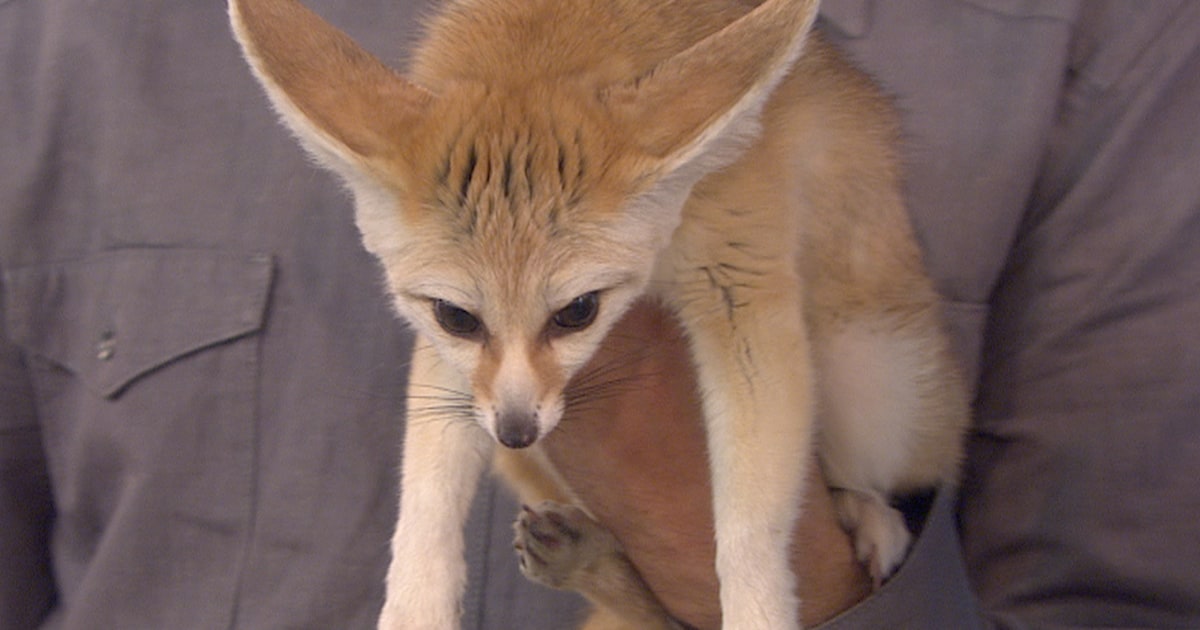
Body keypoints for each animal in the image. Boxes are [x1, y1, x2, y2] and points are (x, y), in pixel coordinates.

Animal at [229, 0, 970, 628]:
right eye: (457, 318)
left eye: (578, 312)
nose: (517, 431)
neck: (548, 39)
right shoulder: (456, 365)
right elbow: (425, 506)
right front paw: (415, 608)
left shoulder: (743, 292)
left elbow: (749, 527)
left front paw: (758, 608)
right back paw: (591, 560)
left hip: (874, 368)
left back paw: (866, 513)